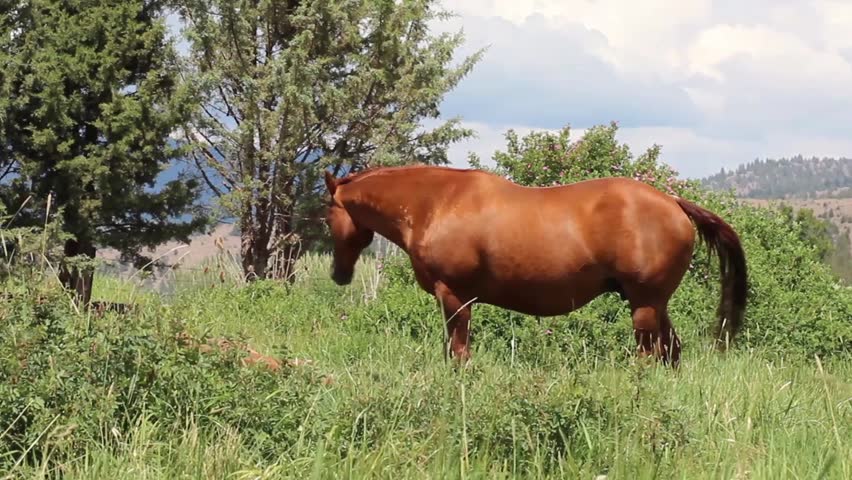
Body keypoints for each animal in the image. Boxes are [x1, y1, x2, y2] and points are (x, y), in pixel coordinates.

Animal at [323, 165, 748, 367]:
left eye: (327, 214)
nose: (338, 275)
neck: (437, 202)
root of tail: (674, 203)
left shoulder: (455, 296)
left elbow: (459, 352)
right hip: (654, 303)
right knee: (671, 351)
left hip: (644, 303)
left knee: (650, 354)